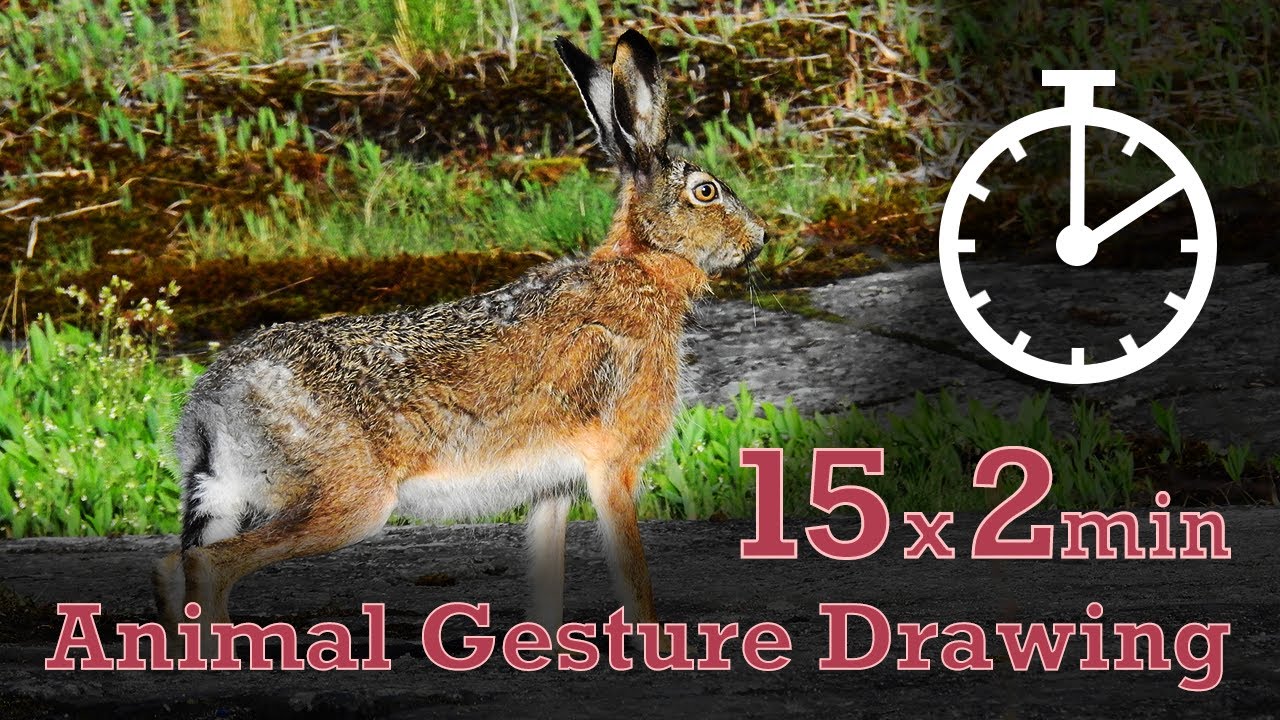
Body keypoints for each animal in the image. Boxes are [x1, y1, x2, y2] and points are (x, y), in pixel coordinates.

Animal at [153, 28, 766, 644]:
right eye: (706, 192)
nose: (760, 236)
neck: (643, 269)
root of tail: (210, 407)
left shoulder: (552, 489)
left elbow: (547, 578)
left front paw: (543, 647)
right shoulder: (612, 467)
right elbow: (632, 572)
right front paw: (654, 640)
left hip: (237, 496)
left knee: (170, 563)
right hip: (345, 500)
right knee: (209, 563)